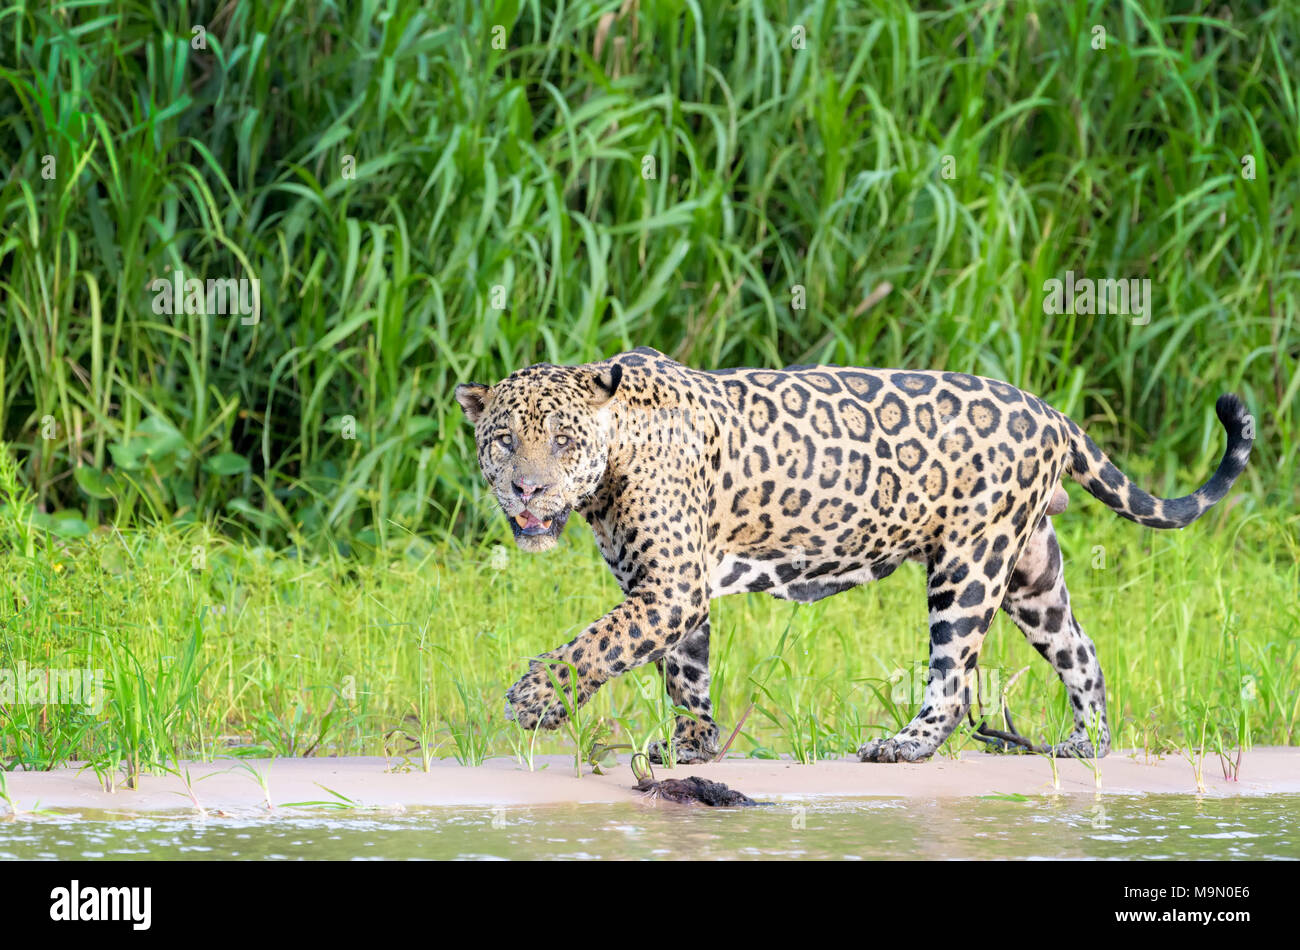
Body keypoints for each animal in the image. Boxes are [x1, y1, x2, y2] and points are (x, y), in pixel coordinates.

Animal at [455, 346, 1253, 764]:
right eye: (504, 441)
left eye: (563, 441)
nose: (528, 489)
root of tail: (1049, 410)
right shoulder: (668, 590)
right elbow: (682, 673)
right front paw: (693, 747)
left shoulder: (671, 588)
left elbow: (598, 642)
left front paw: (535, 698)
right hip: (1030, 570)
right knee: (1080, 650)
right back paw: (1087, 745)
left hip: (968, 564)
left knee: (953, 678)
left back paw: (903, 746)